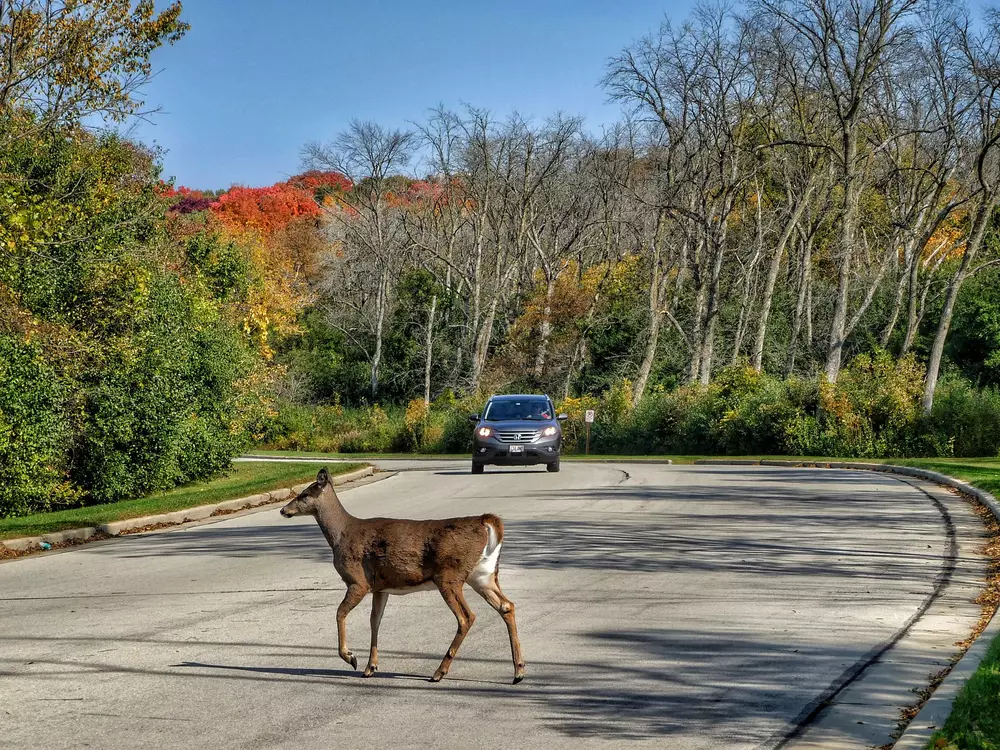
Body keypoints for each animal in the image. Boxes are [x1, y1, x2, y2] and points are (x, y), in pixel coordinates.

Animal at [274, 470, 524, 688]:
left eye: (304, 494)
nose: (284, 510)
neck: (340, 535)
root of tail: (486, 522)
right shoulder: (380, 588)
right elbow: (375, 621)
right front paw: (370, 667)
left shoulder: (358, 581)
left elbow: (340, 613)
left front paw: (350, 657)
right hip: (483, 574)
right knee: (506, 605)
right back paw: (518, 672)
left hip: (449, 576)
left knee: (466, 617)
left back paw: (439, 672)